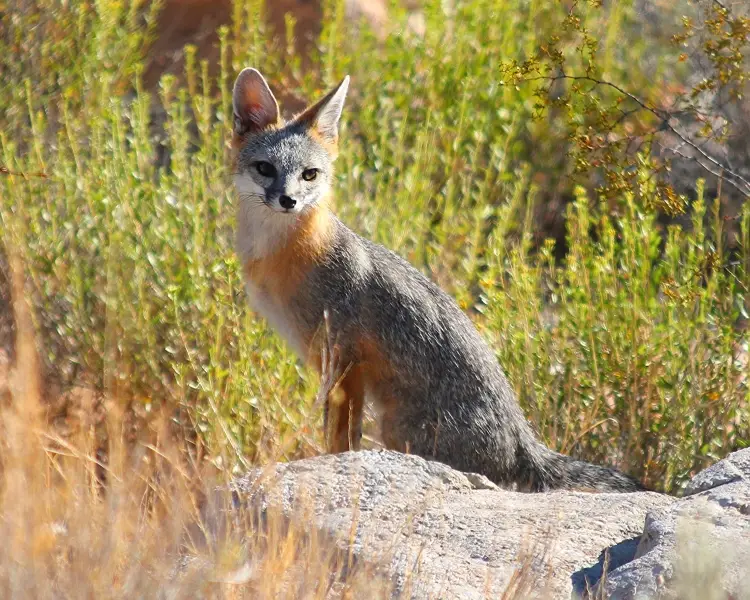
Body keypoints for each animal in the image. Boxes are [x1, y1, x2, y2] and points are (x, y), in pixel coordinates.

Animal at [231, 67, 646, 493]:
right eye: (266, 169)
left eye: (309, 175)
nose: (289, 201)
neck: (283, 255)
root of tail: (523, 440)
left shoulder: (345, 364)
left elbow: (341, 440)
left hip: (396, 427)